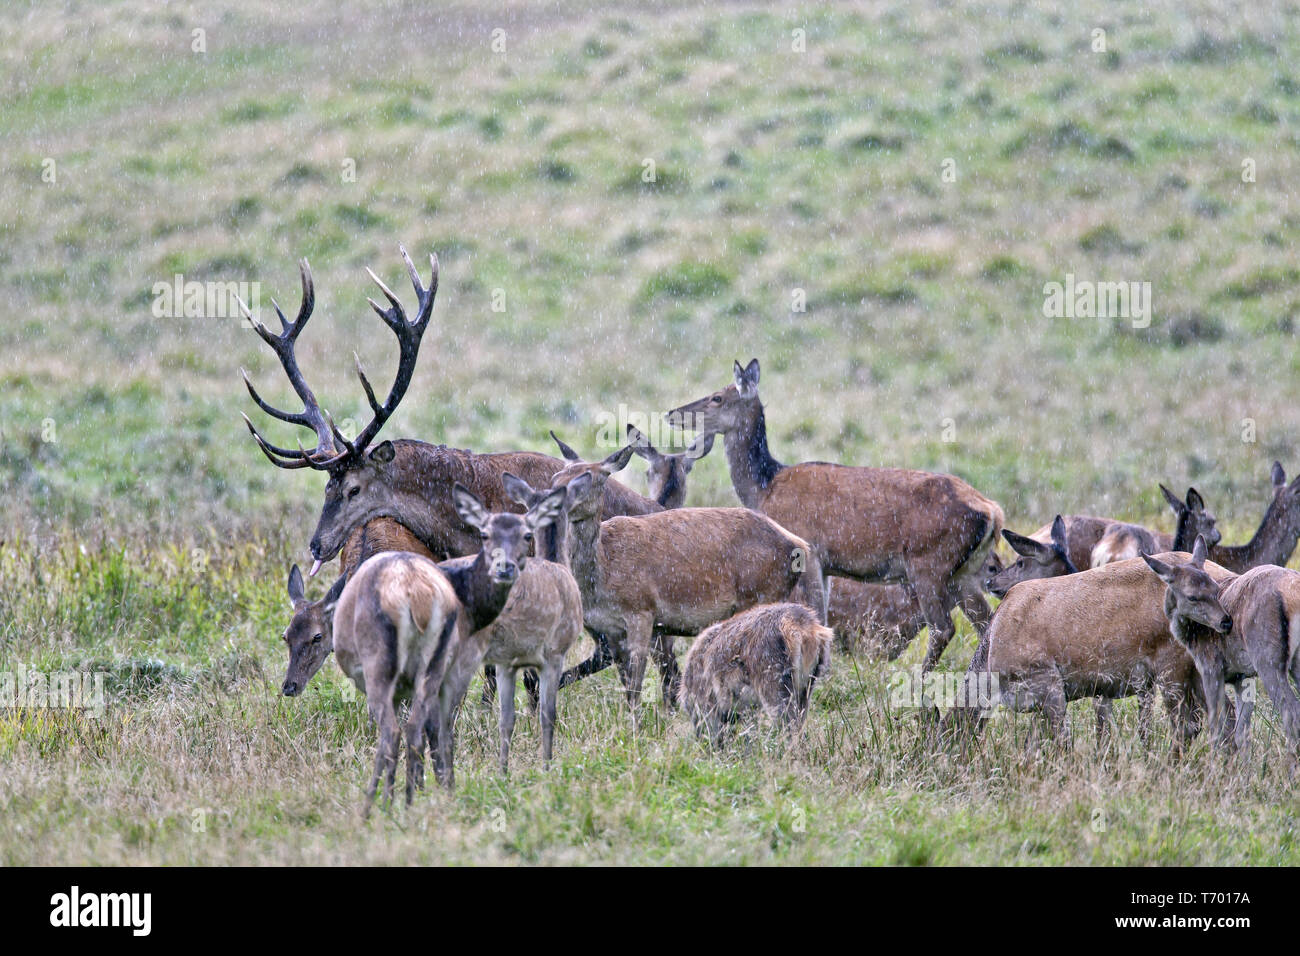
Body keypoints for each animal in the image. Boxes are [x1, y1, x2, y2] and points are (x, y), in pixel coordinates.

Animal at [541, 440, 827, 717]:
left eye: (588, 478)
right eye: (555, 477)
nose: (552, 502)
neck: (603, 571)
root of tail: (798, 545)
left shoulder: (641, 611)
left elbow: (636, 681)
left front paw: (636, 724)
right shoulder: (609, 628)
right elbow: (626, 681)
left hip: (762, 594)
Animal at [665, 358, 1004, 673]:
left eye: (717, 398)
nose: (671, 413)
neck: (764, 488)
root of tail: (992, 511)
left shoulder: (809, 554)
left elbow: (817, 616)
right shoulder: (826, 565)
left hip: (928, 564)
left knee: (943, 627)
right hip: (964, 571)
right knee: (986, 621)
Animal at [954, 538, 1235, 753]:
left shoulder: (1045, 679)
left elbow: (1062, 742)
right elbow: (1032, 744)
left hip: (1172, 663)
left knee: (1187, 724)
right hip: (1196, 669)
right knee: (1225, 715)